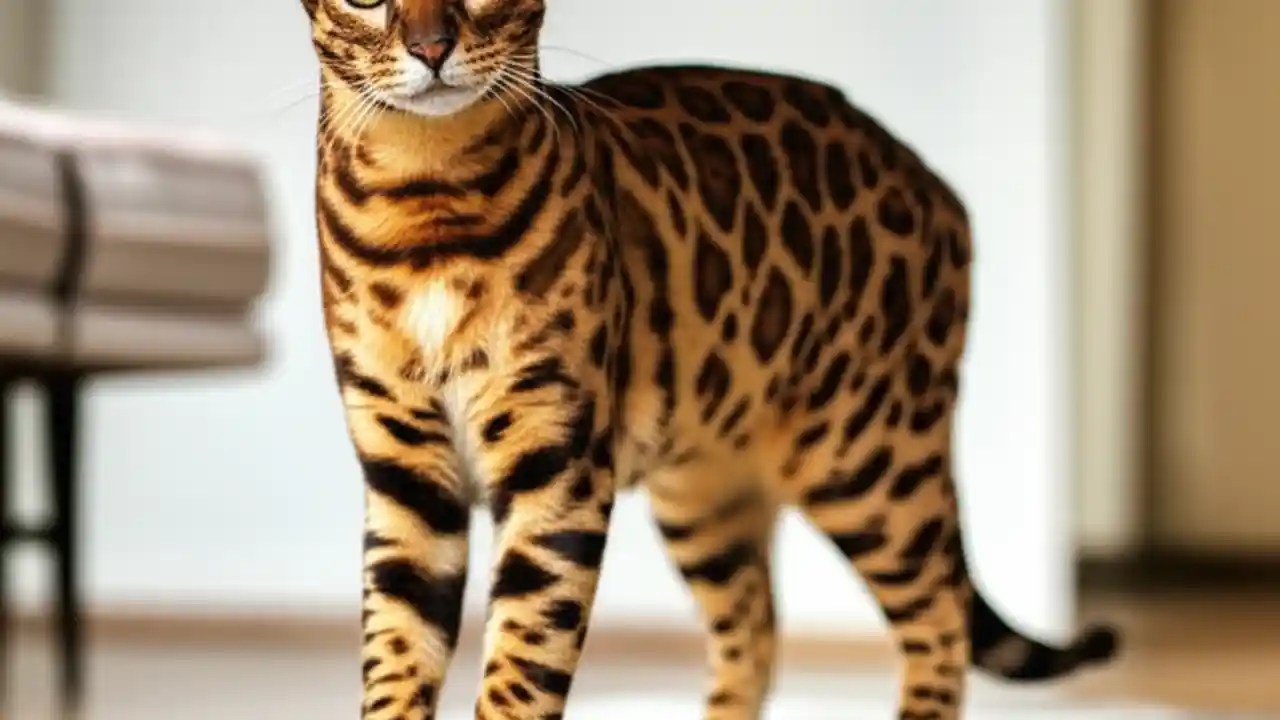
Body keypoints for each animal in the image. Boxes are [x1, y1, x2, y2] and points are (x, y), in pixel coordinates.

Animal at [300, 0, 1121, 718]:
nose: (431, 47)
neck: (425, 196)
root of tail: (936, 182)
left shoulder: (556, 467)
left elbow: (522, 661)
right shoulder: (406, 474)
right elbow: (396, 652)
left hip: (871, 462)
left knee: (939, 619)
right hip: (706, 493)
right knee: (754, 630)